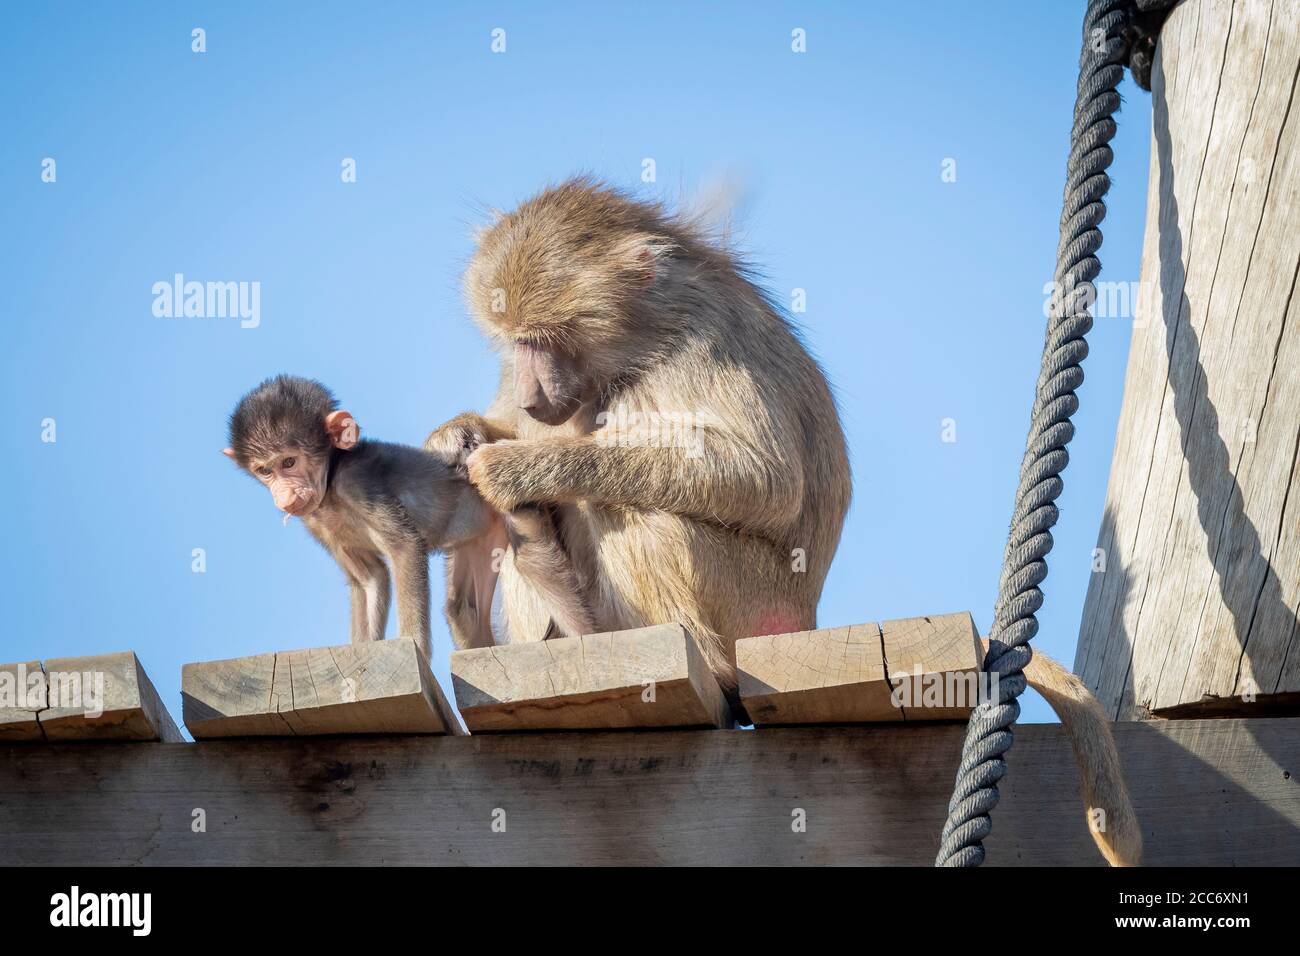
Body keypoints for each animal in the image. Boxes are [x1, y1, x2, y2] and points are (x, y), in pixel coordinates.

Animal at [222, 375, 594, 659]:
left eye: (289, 462)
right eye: (265, 471)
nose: (283, 495)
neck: (331, 485)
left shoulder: (358, 484)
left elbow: (405, 547)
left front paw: (415, 648)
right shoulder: (315, 521)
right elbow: (369, 578)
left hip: (506, 496)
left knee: (535, 561)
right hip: (482, 536)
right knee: (463, 608)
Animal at [427, 177, 1141, 866]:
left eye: (542, 340)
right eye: (513, 343)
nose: (528, 396)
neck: (642, 329)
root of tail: (806, 619)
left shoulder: (702, 340)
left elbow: (761, 477)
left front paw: (518, 468)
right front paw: (457, 436)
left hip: (747, 603)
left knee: (637, 503)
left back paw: (679, 658)